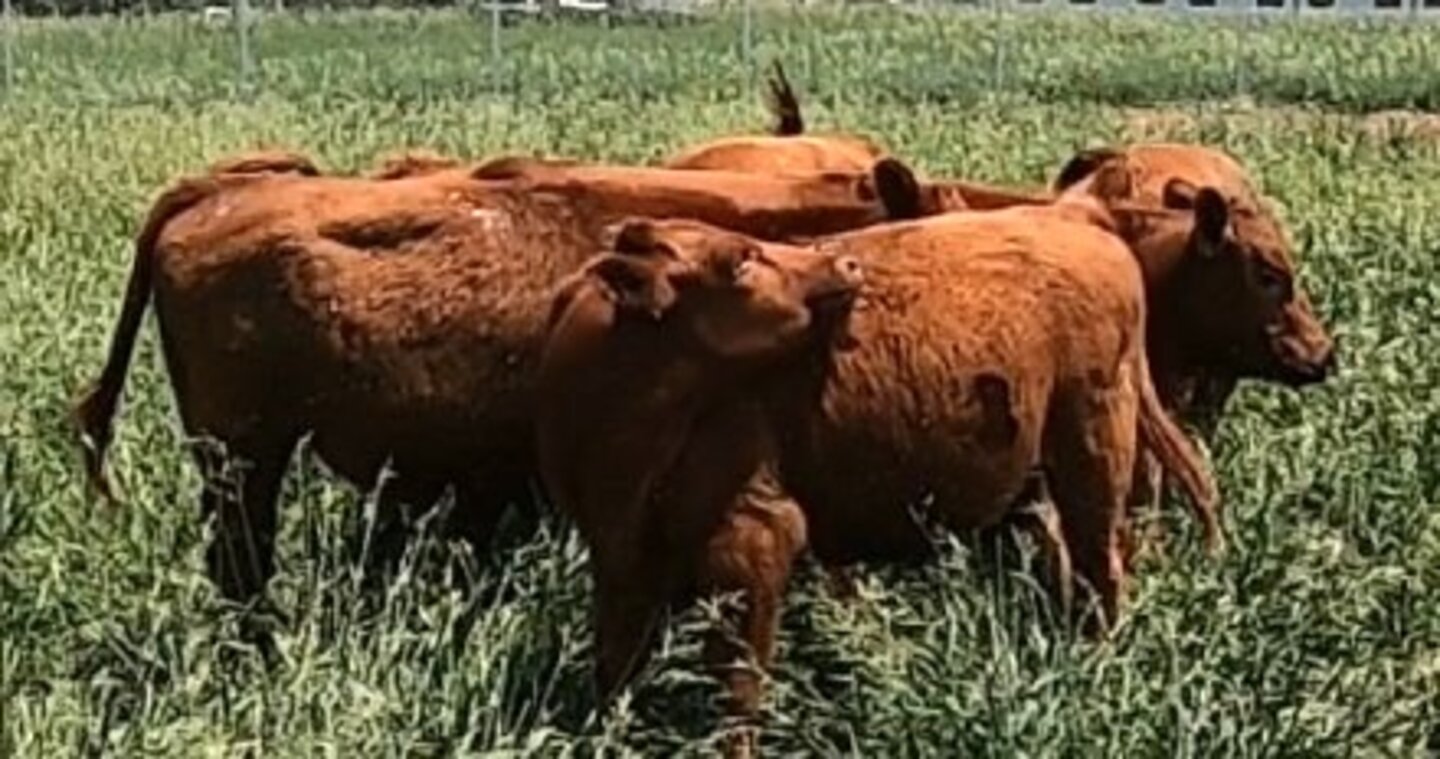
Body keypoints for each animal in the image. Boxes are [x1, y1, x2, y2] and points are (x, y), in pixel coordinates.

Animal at [536, 218, 863, 758]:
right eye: (741, 258)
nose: (846, 260)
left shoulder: (755, 542)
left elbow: (738, 686)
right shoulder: (617, 560)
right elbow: (615, 666)